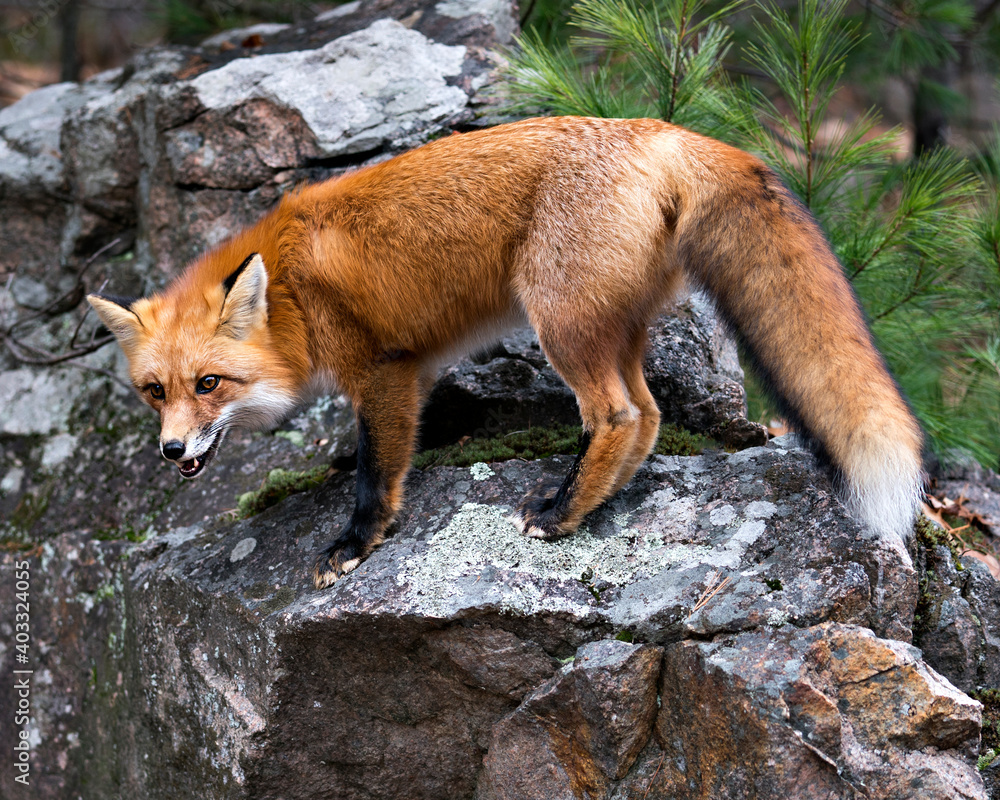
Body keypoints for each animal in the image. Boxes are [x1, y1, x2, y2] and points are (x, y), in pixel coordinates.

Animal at [88, 116, 923, 589]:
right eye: (154, 392)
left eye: (209, 383)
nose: (169, 451)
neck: (291, 289)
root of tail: (666, 130)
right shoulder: (408, 368)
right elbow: (375, 445)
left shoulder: (384, 368)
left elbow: (376, 470)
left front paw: (356, 542)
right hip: (611, 327)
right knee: (650, 414)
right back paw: (597, 502)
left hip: (559, 325)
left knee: (617, 414)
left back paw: (559, 514)